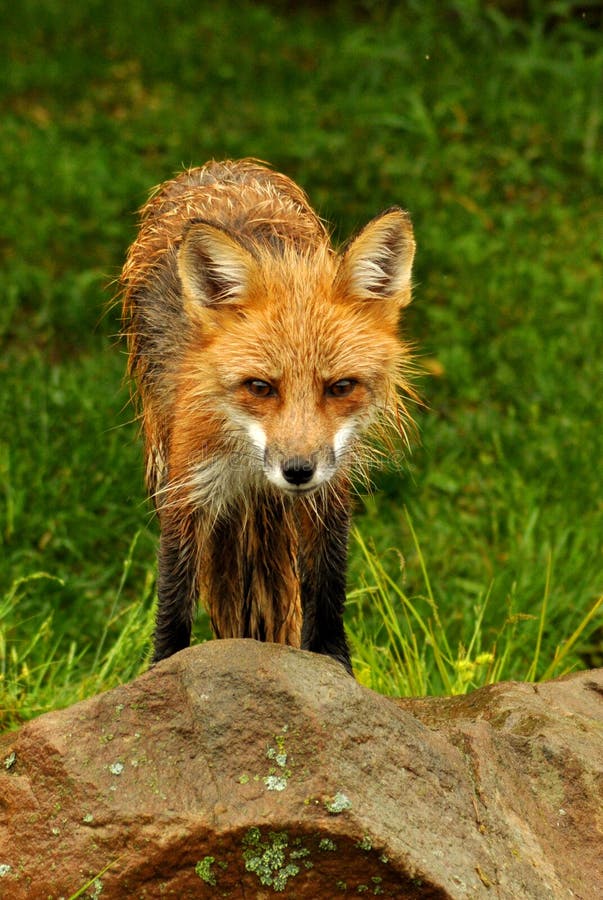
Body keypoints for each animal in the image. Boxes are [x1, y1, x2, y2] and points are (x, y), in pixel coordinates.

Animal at [120, 159, 416, 674]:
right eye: (260, 387)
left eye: (340, 387)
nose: (297, 471)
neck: (246, 459)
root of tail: (218, 167)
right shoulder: (188, 485)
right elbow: (174, 593)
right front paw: (163, 668)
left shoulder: (330, 489)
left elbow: (328, 584)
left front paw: (334, 663)